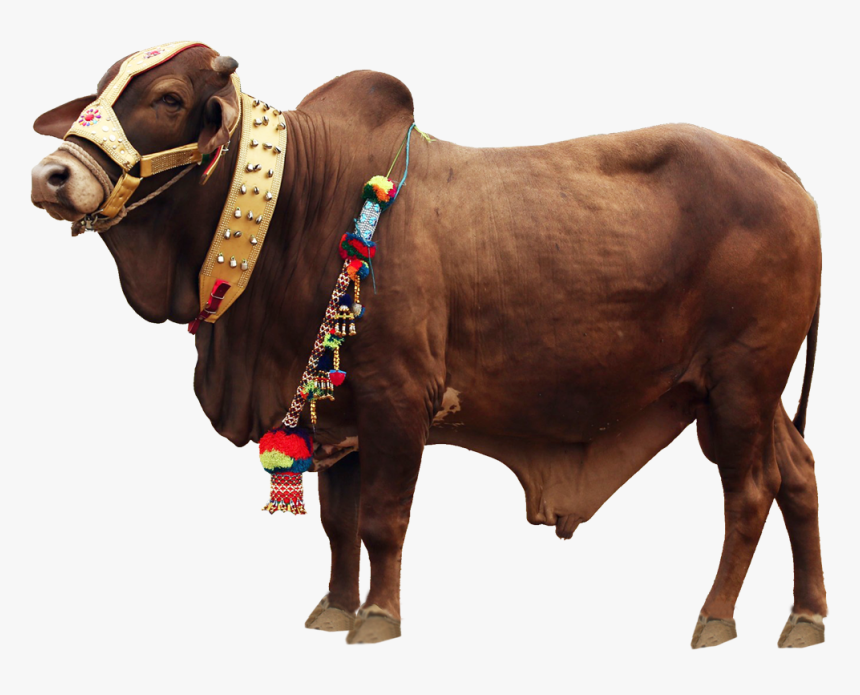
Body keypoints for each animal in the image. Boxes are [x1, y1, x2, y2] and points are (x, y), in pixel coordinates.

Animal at [31, 43, 824, 648]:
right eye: (99, 92)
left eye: (168, 97)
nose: (51, 175)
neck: (306, 203)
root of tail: (783, 173)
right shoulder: (335, 415)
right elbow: (338, 523)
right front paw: (334, 609)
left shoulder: (397, 398)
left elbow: (384, 519)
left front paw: (378, 617)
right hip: (749, 394)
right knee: (800, 474)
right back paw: (806, 617)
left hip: (740, 384)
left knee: (750, 492)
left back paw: (715, 618)